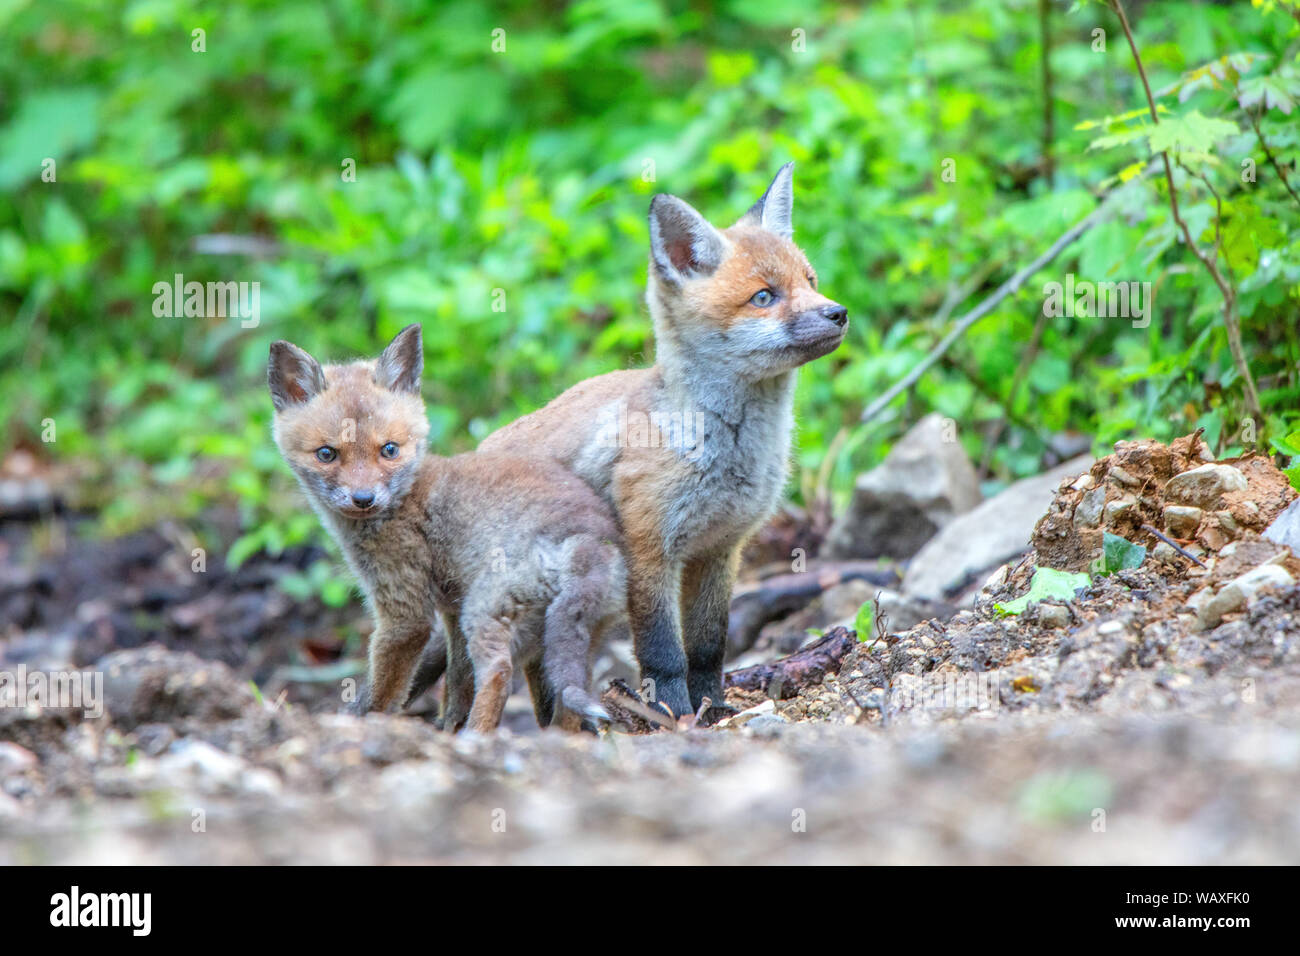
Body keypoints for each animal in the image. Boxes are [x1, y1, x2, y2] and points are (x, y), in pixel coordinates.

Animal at [266, 324, 623, 732]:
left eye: (389, 450)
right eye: (326, 454)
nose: (363, 499)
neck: (406, 498)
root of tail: (587, 536)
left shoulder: (407, 613)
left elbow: (385, 693)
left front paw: (367, 724)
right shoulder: (451, 608)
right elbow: (456, 684)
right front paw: (446, 728)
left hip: (485, 610)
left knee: (499, 673)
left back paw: (477, 736)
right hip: (572, 632)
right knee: (566, 699)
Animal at [408, 163, 847, 721]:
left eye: (810, 282)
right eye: (765, 297)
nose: (839, 313)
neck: (728, 450)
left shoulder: (720, 550)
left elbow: (709, 646)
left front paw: (713, 709)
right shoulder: (648, 548)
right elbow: (663, 653)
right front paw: (674, 716)